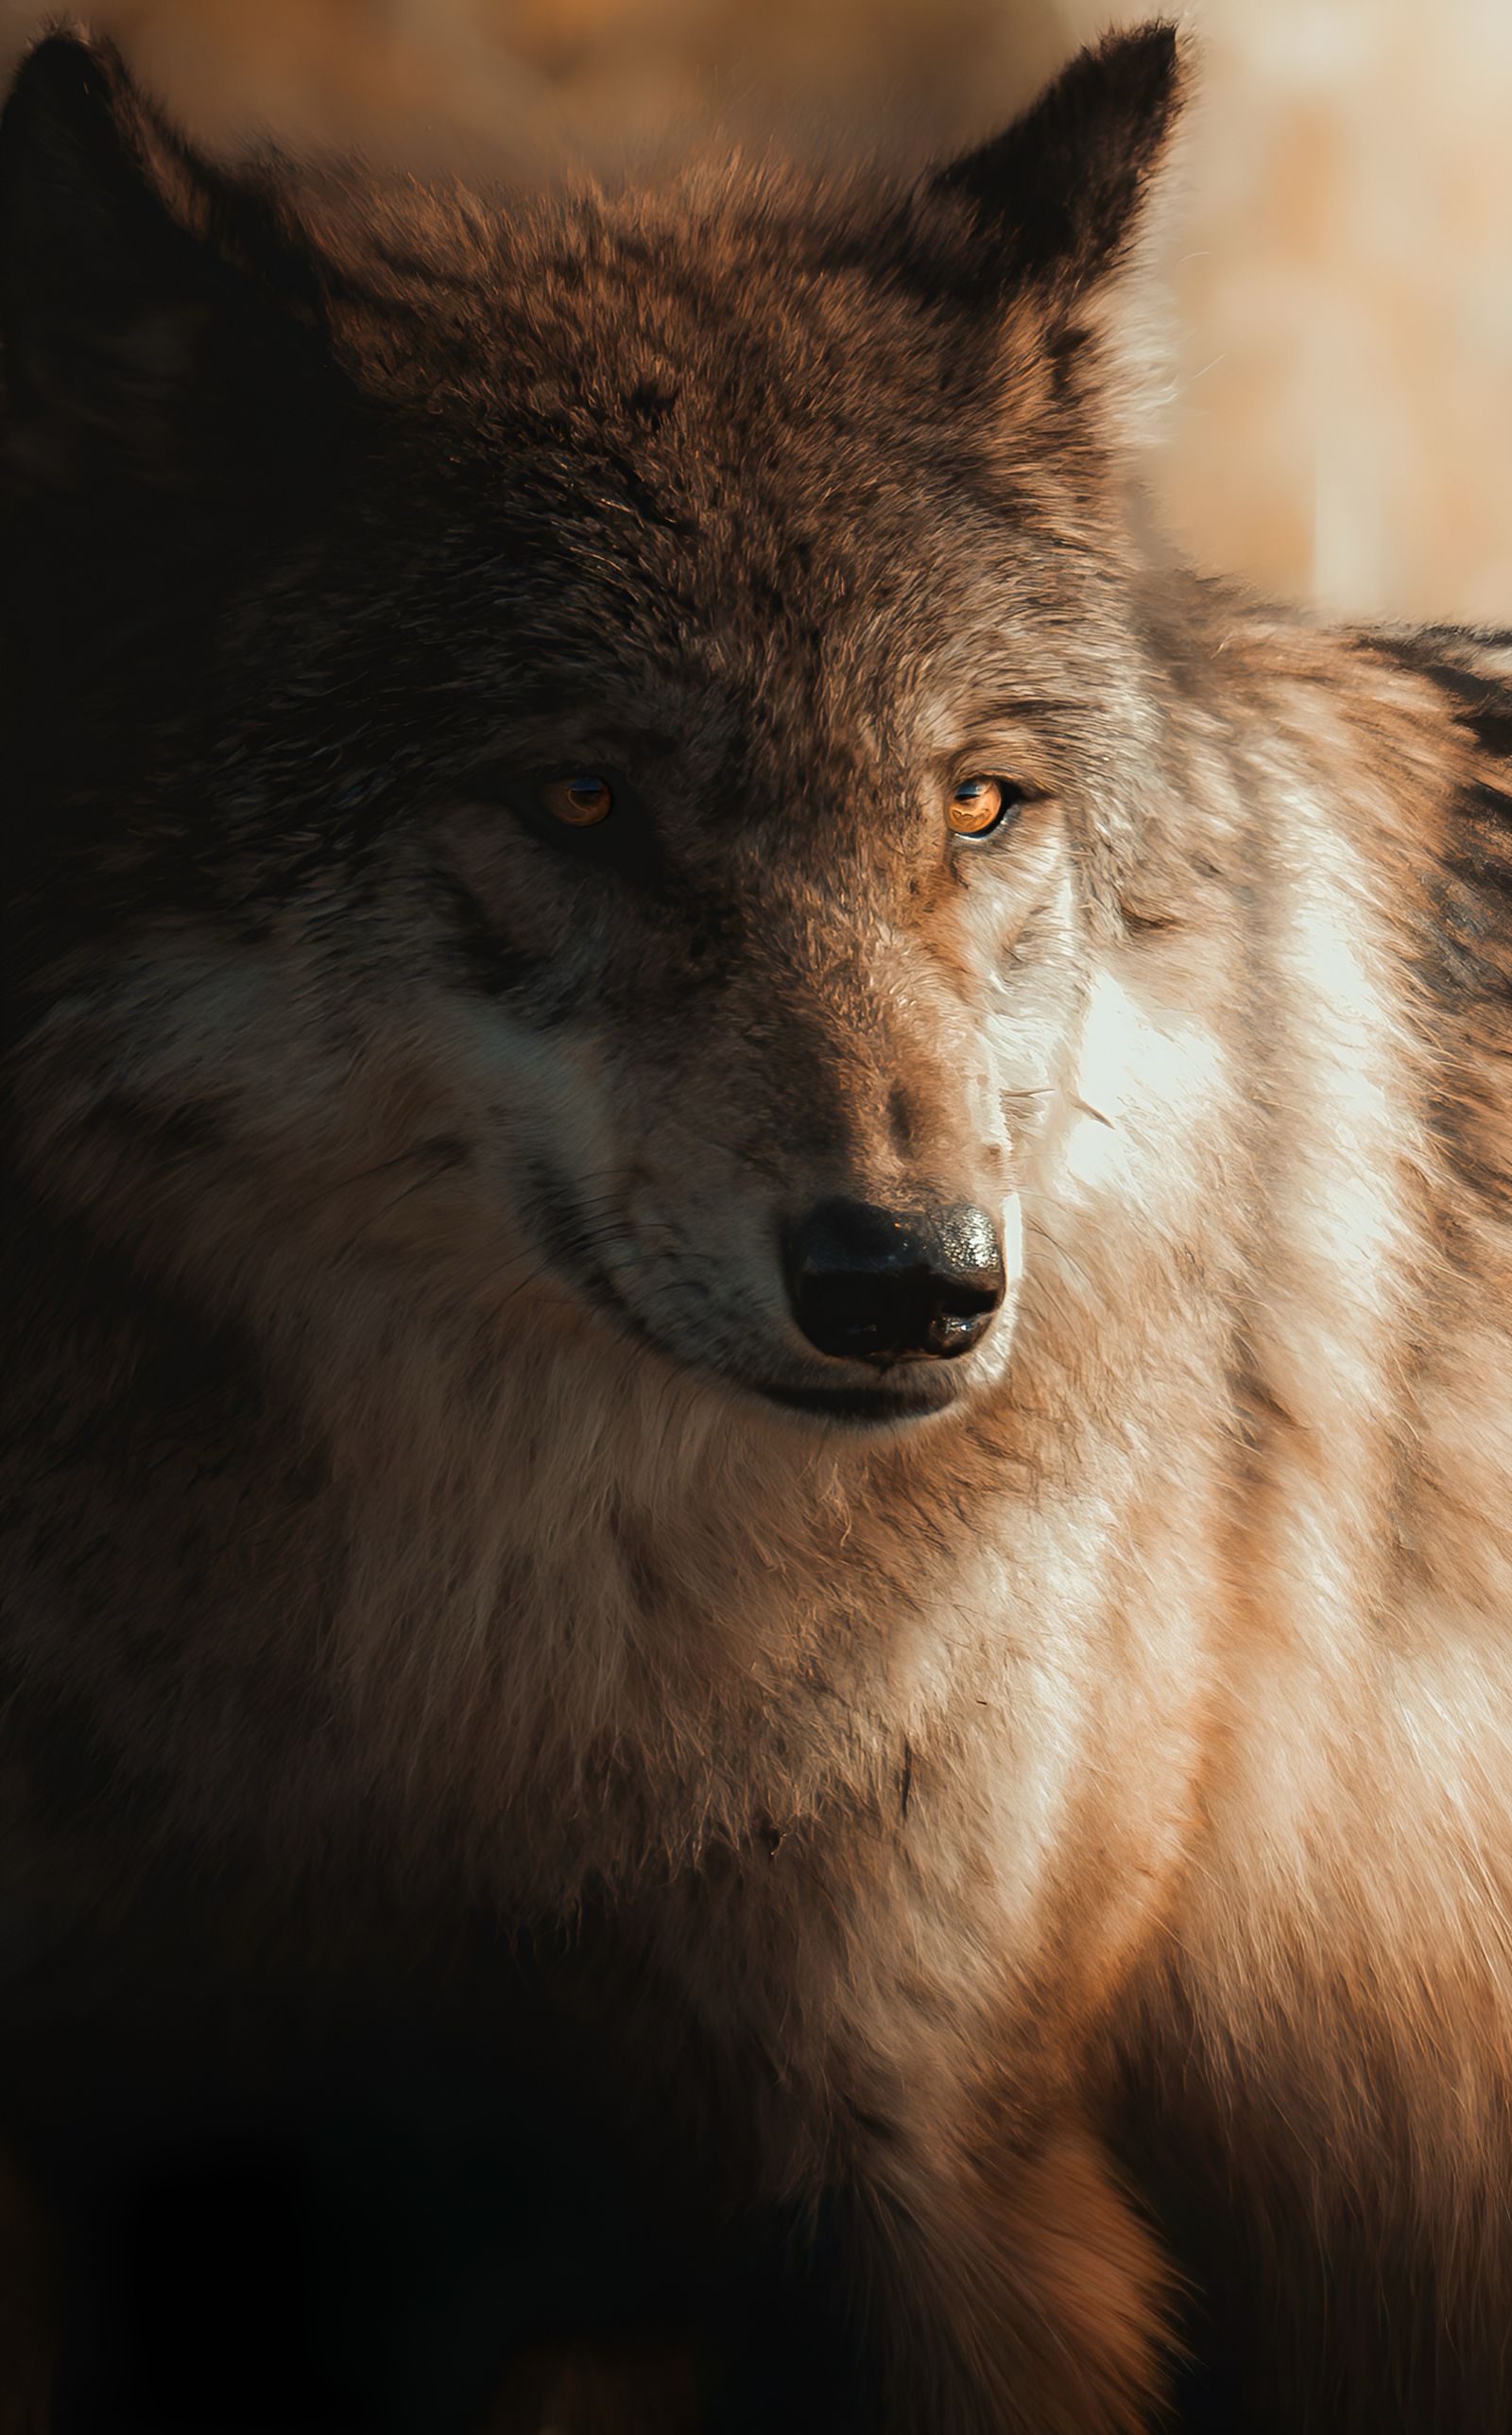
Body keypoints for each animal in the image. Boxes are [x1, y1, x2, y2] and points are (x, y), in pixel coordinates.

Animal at [1, 15, 1510, 2432]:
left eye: (975, 801)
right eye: (580, 796)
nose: (916, 1284)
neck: (490, 1687)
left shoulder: (939, 2181)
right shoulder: (166, 2152)